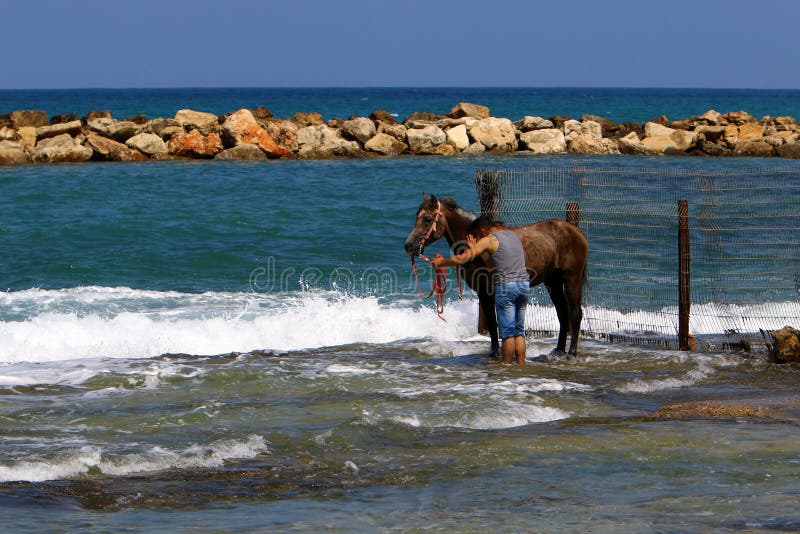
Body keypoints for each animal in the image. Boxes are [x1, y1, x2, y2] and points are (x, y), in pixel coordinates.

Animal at [404, 193, 588, 356]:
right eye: (416, 217)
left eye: (427, 219)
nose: (409, 246)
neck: (476, 241)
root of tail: (576, 232)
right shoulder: (483, 292)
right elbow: (492, 324)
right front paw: (494, 352)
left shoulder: (489, 291)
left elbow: (494, 322)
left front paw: (497, 352)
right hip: (553, 282)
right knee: (562, 313)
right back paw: (559, 350)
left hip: (572, 281)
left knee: (575, 313)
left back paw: (571, 352)